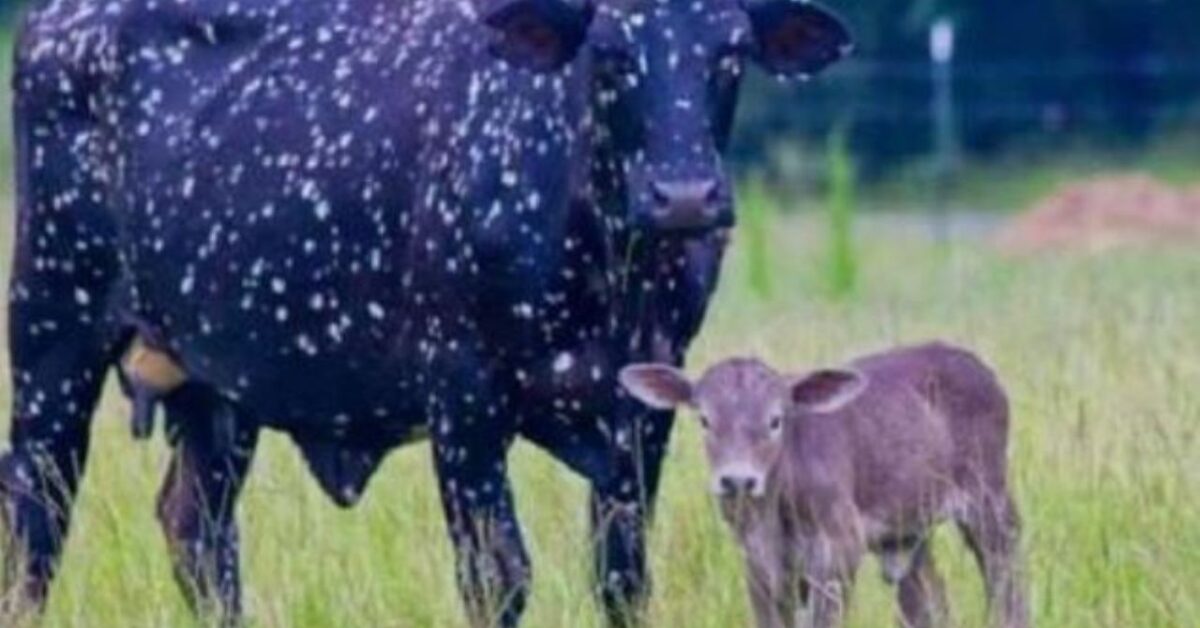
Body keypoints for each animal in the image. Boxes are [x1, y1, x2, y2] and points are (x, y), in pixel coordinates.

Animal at [0, 0, 852, 626]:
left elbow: (621, 574)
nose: (684, 197)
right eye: (608, 50)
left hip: (217, 390)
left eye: (730, 51)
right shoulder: (464, 398)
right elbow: (498, 573)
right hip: (52, 336)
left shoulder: (645, 408)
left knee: (197, 533)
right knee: (36, 517)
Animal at [620, 343, 1030, 628]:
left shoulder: (837, 551)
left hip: (990, 501)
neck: (772, 514)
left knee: (1008, 584)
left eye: (775, 420)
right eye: (705, 419)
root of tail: (972, 363)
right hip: (907, 533)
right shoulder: (759, 563)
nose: (738, 480)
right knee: (931, 602)